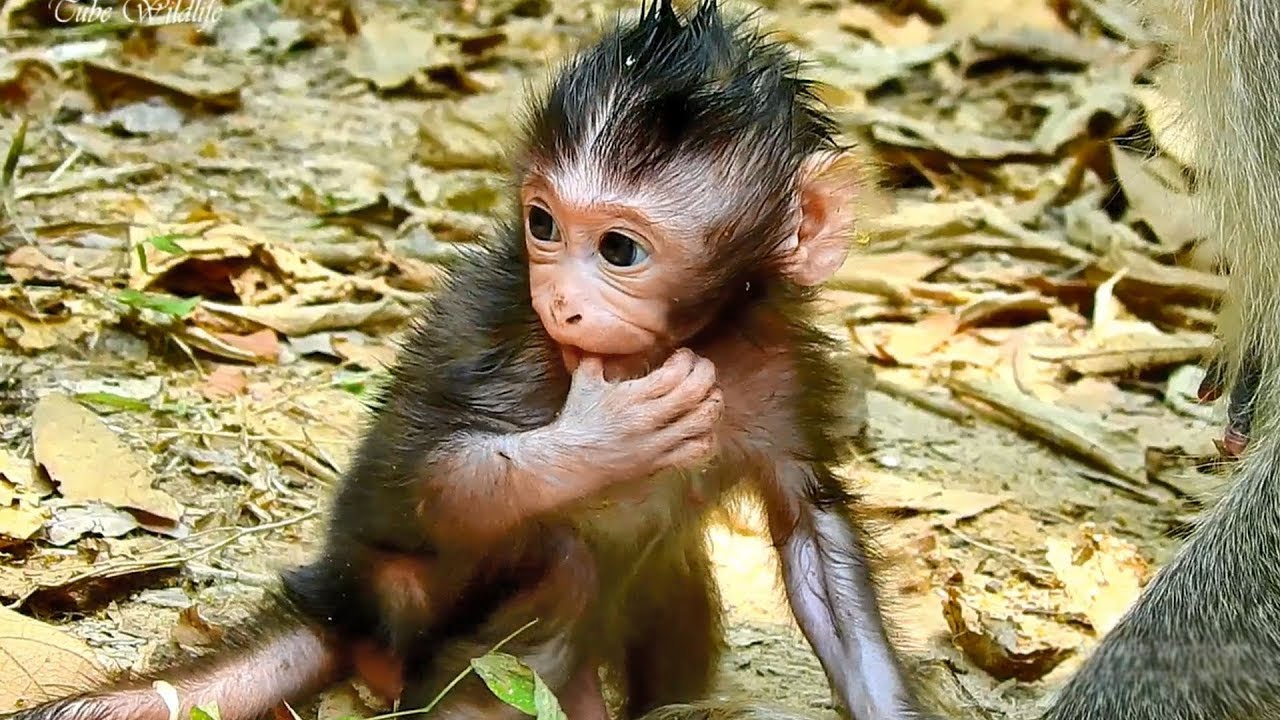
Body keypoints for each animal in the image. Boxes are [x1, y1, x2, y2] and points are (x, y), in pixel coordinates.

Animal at [1, 2, 935, 720]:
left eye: (620, 250)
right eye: (543, 224)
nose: (563, 303)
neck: (690, 336)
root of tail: (337, 601)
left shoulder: (782, 370)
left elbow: (814, 534)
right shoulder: (517, 347)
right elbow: (429, 484)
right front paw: (601, 440)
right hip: (407, 608)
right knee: (557, 563)